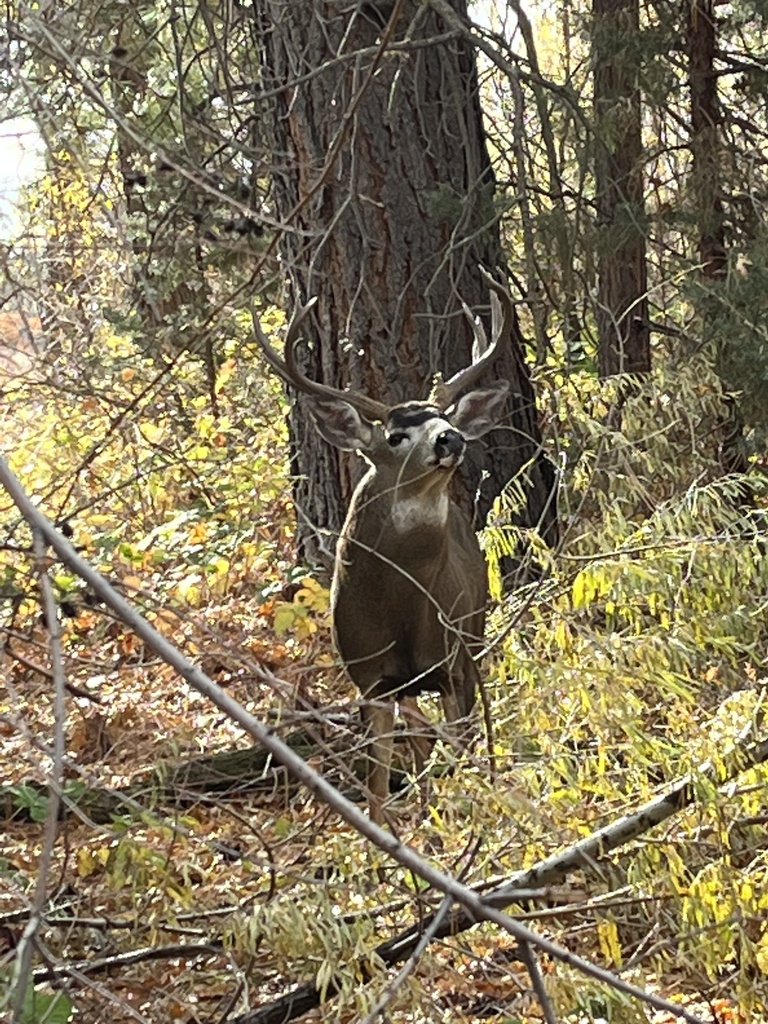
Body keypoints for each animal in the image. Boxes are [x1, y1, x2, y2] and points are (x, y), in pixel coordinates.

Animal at [254, 275, 512, 823]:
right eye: (395, 436)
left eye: (442, 417)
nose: (450, 437)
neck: (402, 611)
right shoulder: (369, 676)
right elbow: (375, 785)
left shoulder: (453, 662)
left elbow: (459, 748)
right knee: (416, 739)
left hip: (471, 637)